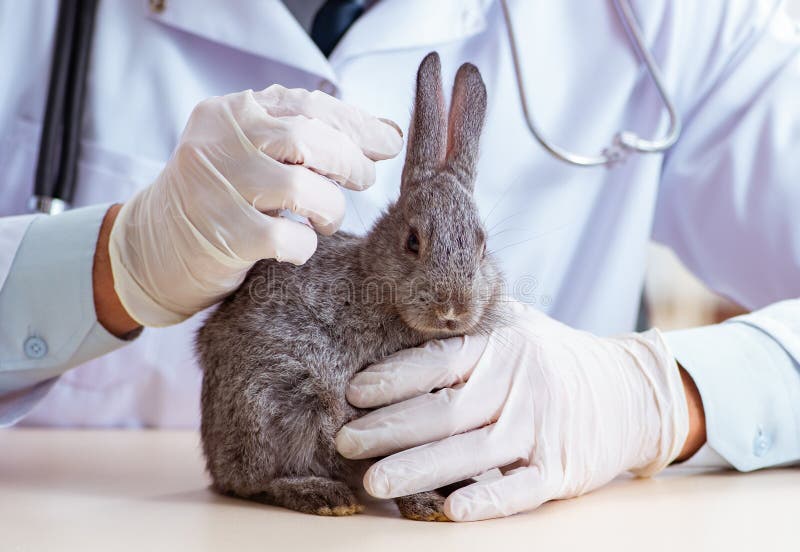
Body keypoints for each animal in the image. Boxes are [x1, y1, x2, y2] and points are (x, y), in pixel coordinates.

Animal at [196, 51, 506, 522]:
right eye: (412, 241)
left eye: (482, 243)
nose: (451, 310)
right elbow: (390, 461)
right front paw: (426, 504)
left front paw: (460, 485)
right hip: (271, 402)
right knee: (254, 481)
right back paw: (323, 495)